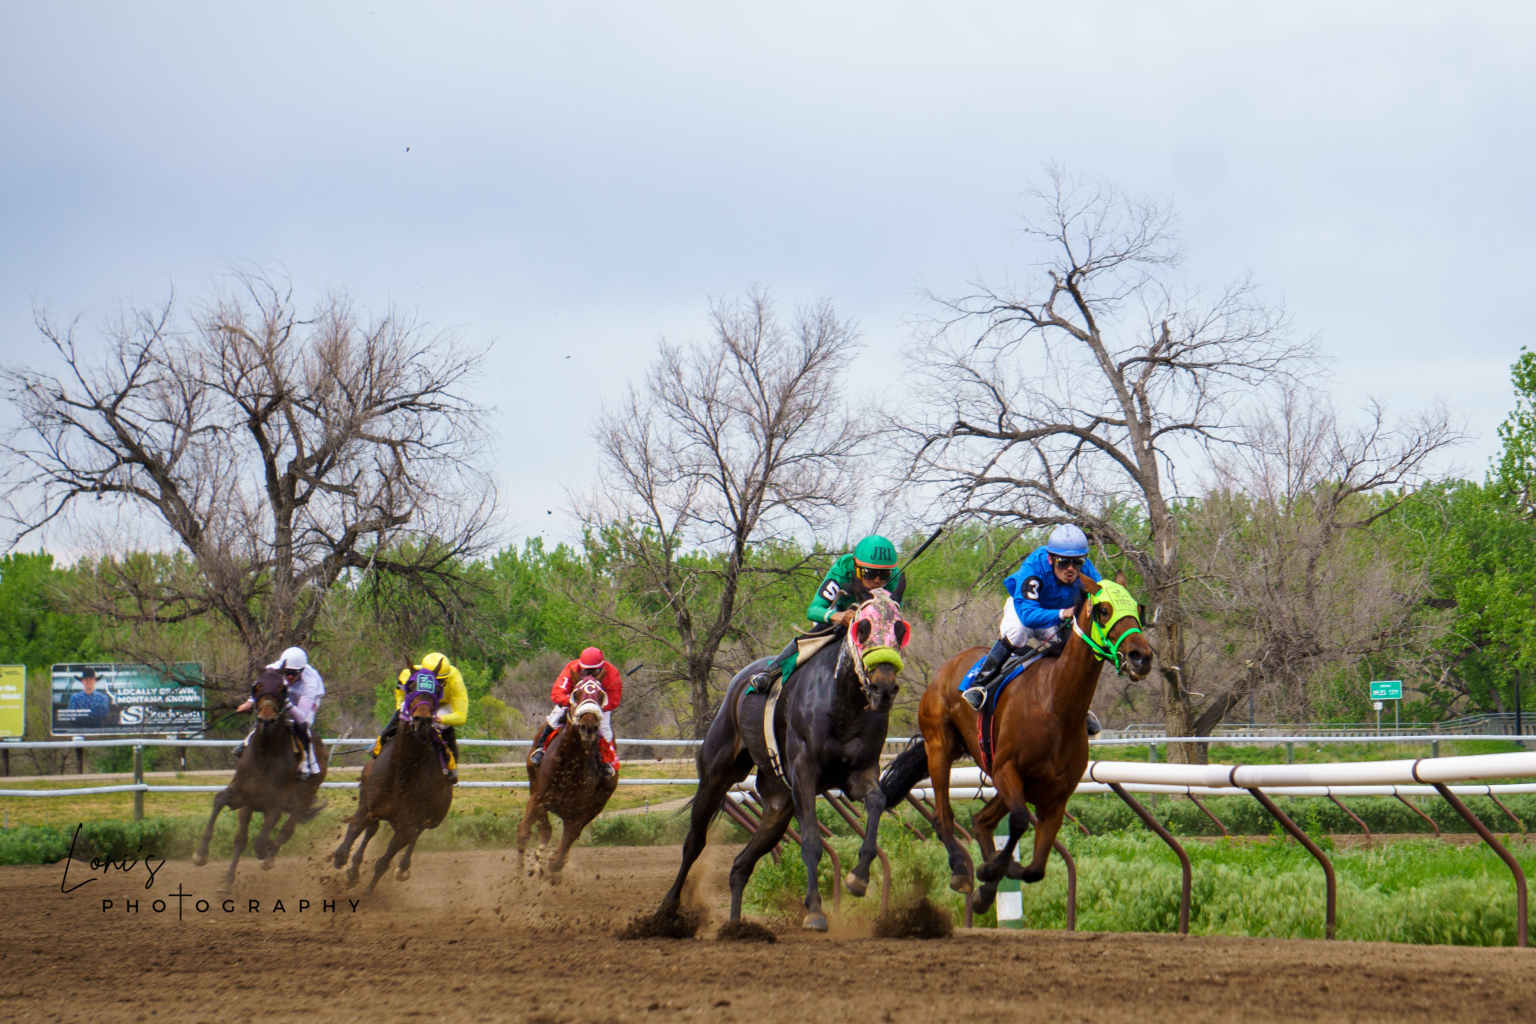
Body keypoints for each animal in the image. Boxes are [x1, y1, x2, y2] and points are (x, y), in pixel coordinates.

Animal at [192, 668, 329, 893]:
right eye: (257, 686)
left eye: (282, 689)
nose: (266, 720)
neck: (265, 755)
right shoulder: (242, 794)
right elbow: (220, 800)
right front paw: (201, 854)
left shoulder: (276, 805)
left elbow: (262, 839)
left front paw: (266, 852)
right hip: (249, 806)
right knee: (241, 839)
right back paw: (227, 883)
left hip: (303, 799)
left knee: (285, 832)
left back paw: (268, 856)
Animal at [330, 666, 454, 890]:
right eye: (410, 687)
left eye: (436, 691)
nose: (422, 720)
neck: (404, 774)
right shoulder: (368, 805)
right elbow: (355, 828)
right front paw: (344, 861)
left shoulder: (408, 827)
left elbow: (384, 861)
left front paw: (368, 891)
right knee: (371, 830)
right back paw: (355, 866)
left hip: (428, 820)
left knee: (411, 839)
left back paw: (402, 868)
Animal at [517, 677, 618, 879]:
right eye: (576, 693)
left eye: (601, 695)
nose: (589, 726)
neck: (570, 764)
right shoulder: (538, 797)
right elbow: (525, 831)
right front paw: (519, 874)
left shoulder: (579, 813)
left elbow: (564, 849)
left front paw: (552, 868)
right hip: (534, 784)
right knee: (545, 828)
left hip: (596, 805)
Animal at [655, 589, 909, 932]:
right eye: (863, 628)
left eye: (900, 629)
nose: (884, 689)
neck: (844, 702)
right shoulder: (804, 773)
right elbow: (812, 841)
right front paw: (814, 911)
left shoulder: (859, 773)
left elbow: (878, 801)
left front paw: (858, 878)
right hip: (717, 774)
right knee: (695, 841)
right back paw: (668, 906)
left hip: (778, 804)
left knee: (740, 865)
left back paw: (735, 927)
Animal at [880, 575, 1153, 915]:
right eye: (1104, 610)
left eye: (1138, 609)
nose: (1141, 657)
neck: (1056, 704)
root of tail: (947, 667)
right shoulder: (1007, 770)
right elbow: (1021, 820)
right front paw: (989, 872)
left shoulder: (1056, 795)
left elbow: (1035, 869)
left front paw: (992, 878)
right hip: (941, 747)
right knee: (944, 816)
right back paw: (961, 871)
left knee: (981, 821)